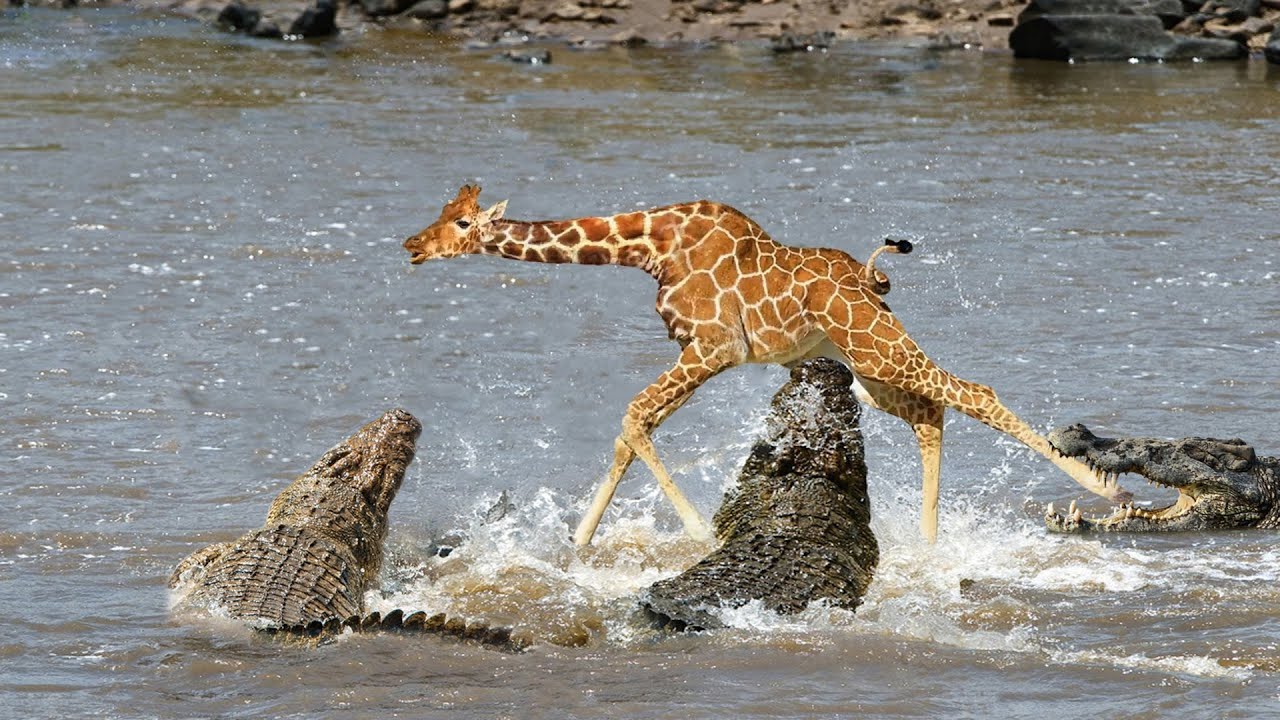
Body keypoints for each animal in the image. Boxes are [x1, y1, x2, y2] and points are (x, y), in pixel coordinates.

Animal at [402, 184, 1133, 546]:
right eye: (443, 213)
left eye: (463, 223)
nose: (412, 245)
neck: (647, 249)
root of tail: (869, 281)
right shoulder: (696, 353)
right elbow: (631, 431)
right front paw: (578, 545)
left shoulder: (713, 348)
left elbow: (633, 417)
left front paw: (700, 530)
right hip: (866, 367)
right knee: (932, 412)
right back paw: (928, 545)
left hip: (878, 348)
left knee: (972, 391)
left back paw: (1107, 493)